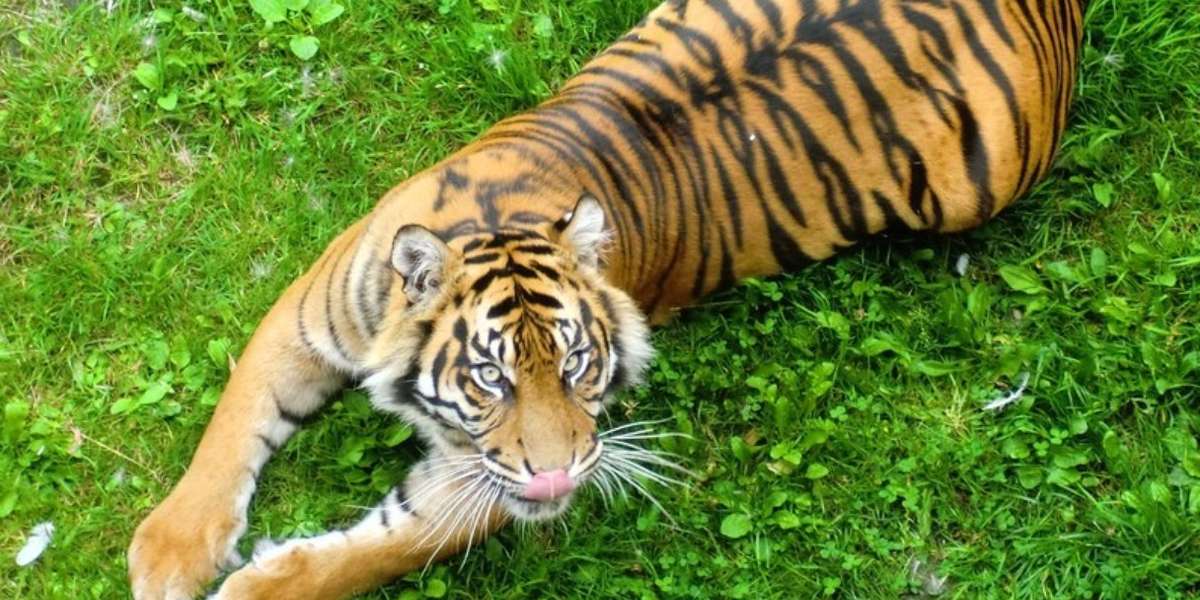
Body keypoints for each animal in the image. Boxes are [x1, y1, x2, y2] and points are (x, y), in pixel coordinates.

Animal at [127, 0, 1087, 598]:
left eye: (579, 364)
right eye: (491, 377)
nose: (560, 479)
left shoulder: (486, 479)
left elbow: (380, 548)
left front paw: (255, 583)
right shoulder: (307, 318)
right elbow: (231, 425)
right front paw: (171, 554)